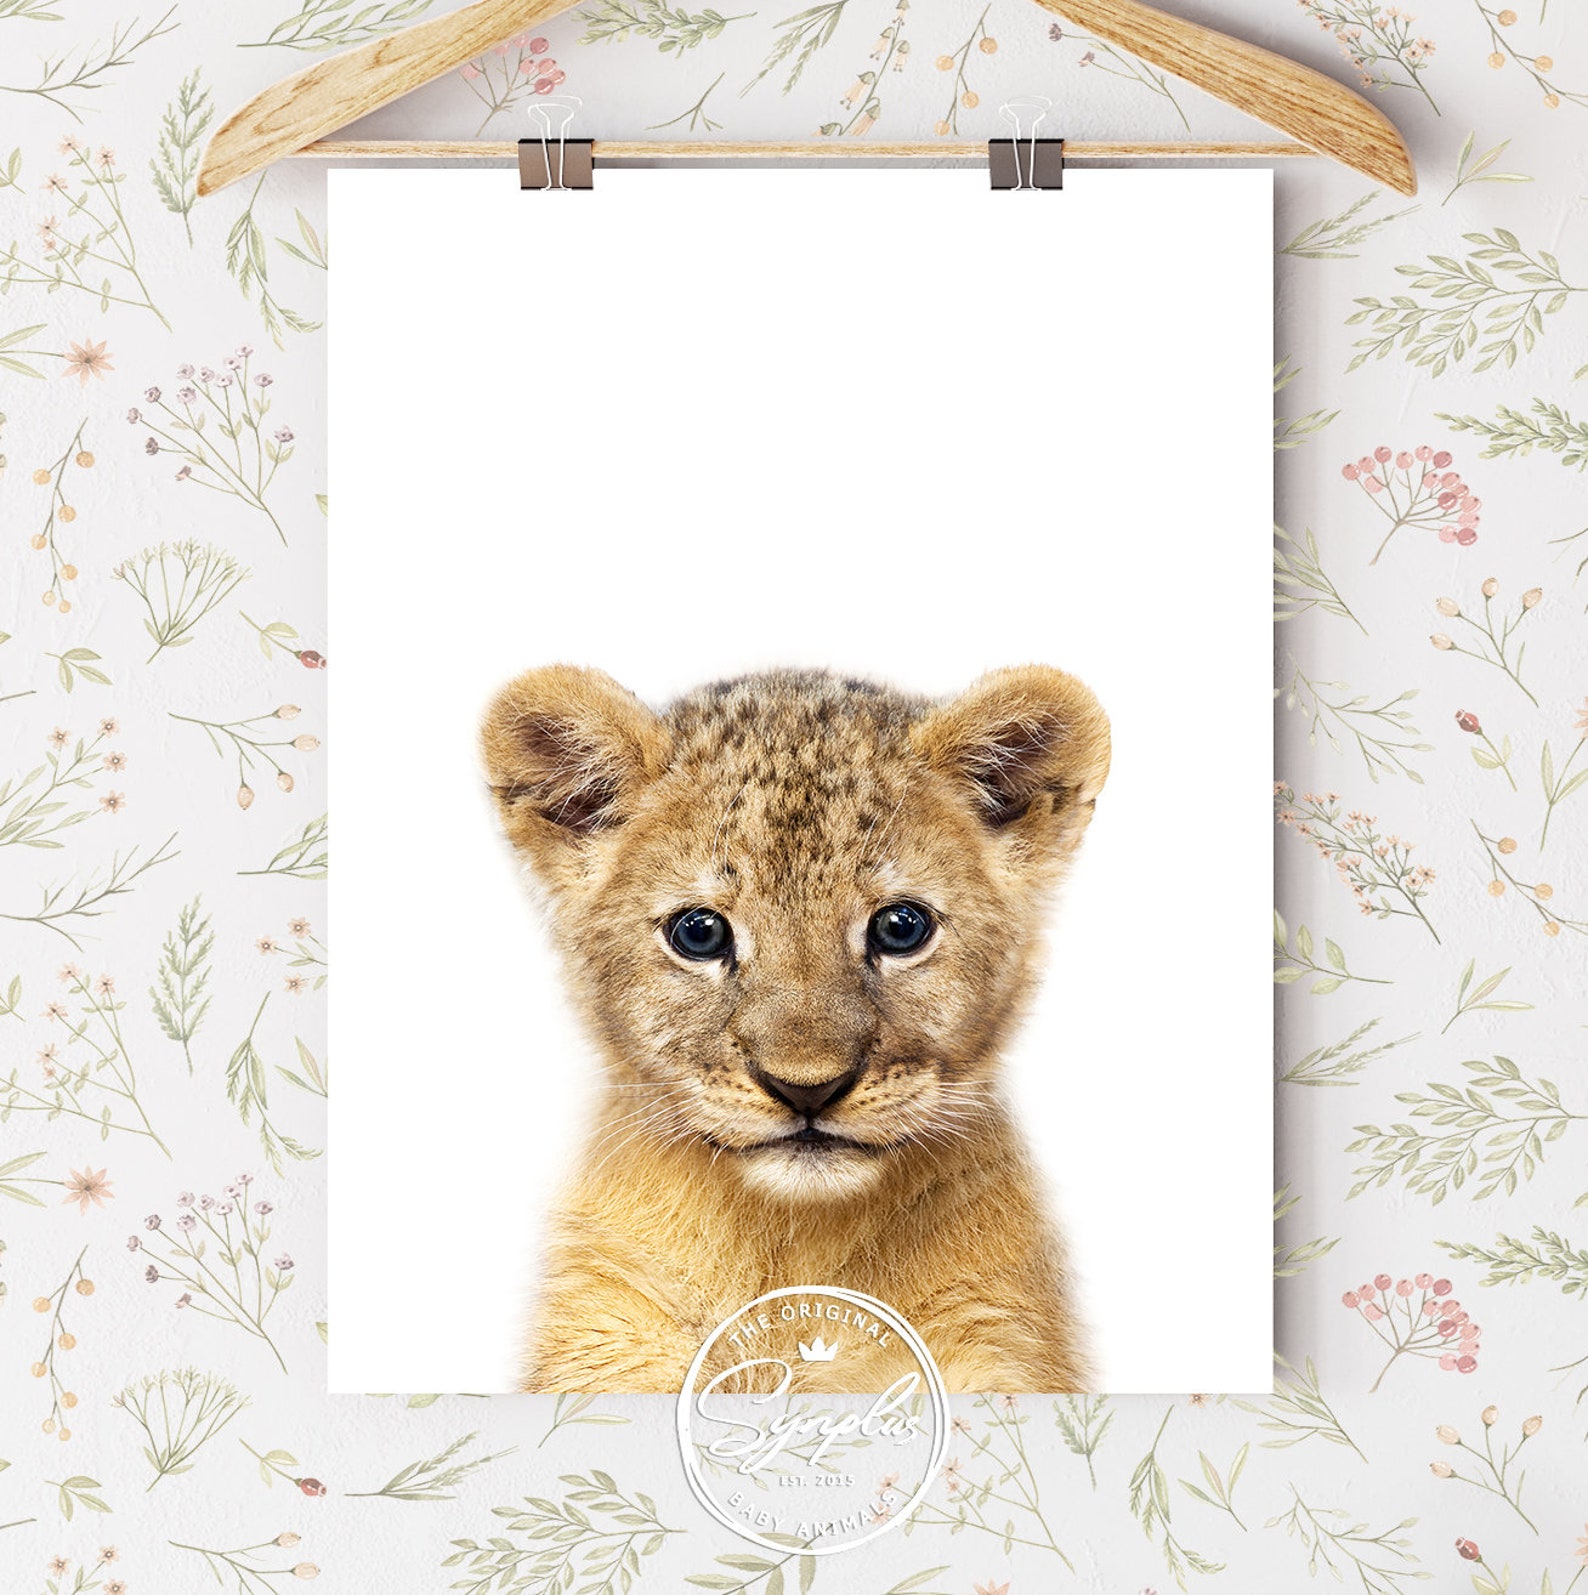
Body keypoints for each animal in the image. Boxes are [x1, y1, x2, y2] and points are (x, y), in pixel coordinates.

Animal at [480, 664, 1110, 1393]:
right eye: (699, 933)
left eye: (901, 928)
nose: (807, 1089)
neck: (792, 1241)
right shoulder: (606, 1333)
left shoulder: (997, 1337)